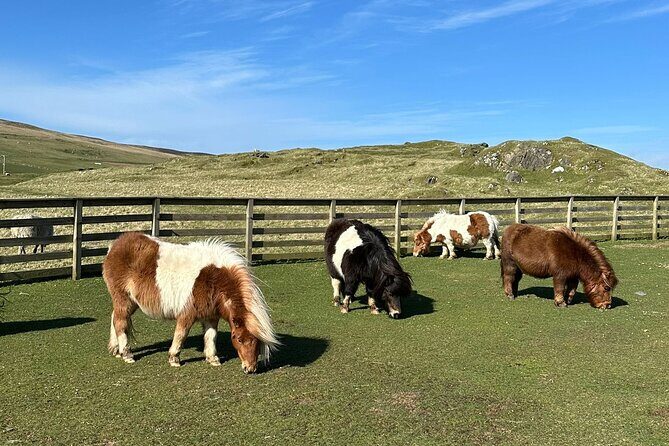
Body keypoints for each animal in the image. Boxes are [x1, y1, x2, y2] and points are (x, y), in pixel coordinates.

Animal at [102, 232, 279, 373]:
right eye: (239, 339)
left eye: (256, 341)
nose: (250, 368)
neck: (213, 280)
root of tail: (114, 246)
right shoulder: (187, 314)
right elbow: (181, 335)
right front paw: (174, 359)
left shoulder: (211, 317)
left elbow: (211, 336)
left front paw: (212, 359)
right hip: (123, 298)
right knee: (120, 322)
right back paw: (127, 354)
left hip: (131, 302)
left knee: (115, 318)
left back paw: (116, 350)